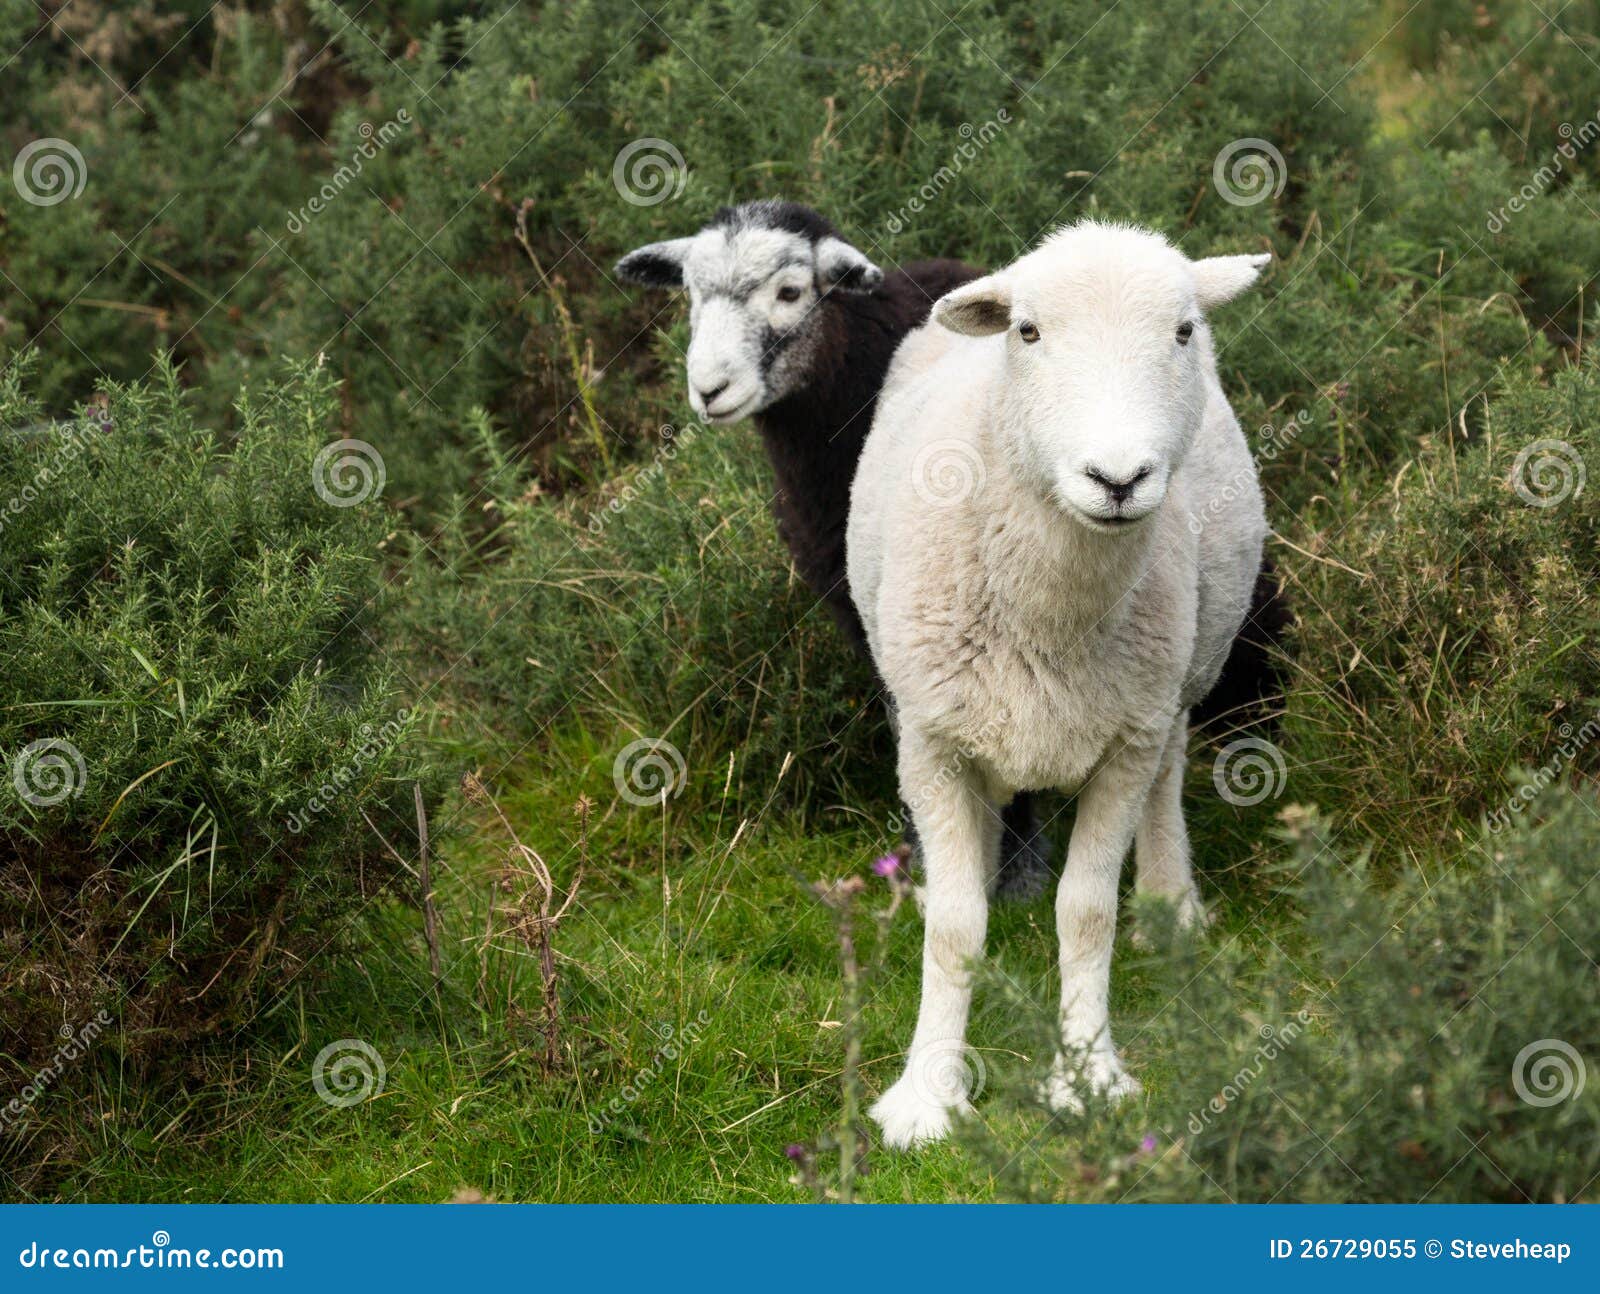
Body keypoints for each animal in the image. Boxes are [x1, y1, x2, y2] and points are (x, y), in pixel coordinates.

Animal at [846, 220, 1272, 1148]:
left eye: (1181, 332)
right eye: (1029, 333)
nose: (1117, 479)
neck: (1051, 615)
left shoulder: (1126, 741)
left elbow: (1086, 912)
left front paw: (1087, 1076)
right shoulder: (931, 739)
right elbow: (955, 926)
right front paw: (927, 1094)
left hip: (1184, 667)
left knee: (1172, 771)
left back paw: (1170, 902)